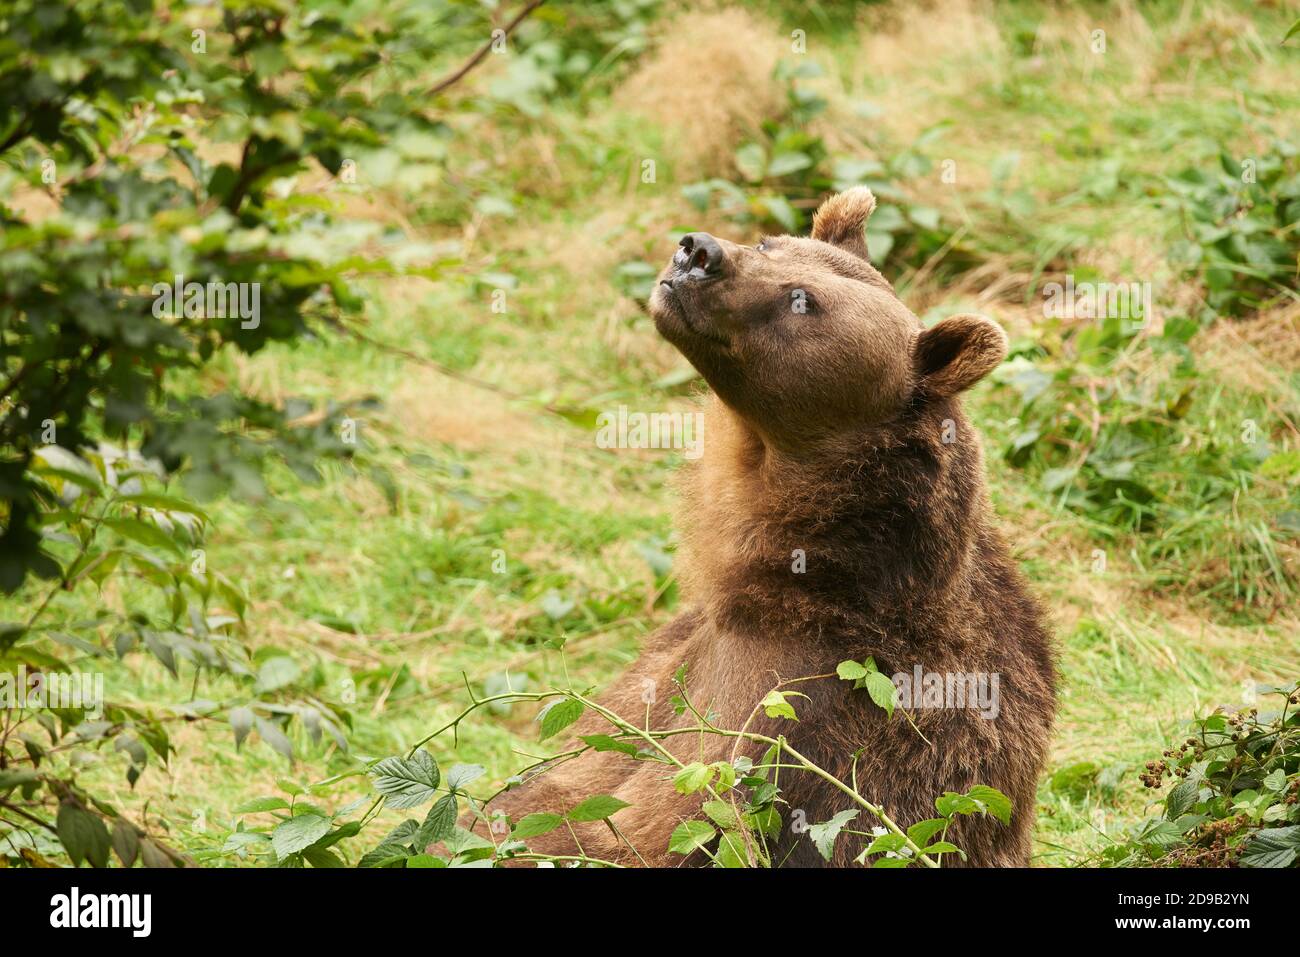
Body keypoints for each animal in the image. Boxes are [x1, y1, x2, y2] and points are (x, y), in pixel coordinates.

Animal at [475, 187, 1057, 867]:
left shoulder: (787, 709)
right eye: (769, 243)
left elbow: (616, 823)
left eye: (802, 299)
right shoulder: (669, 666)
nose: (699, 251)